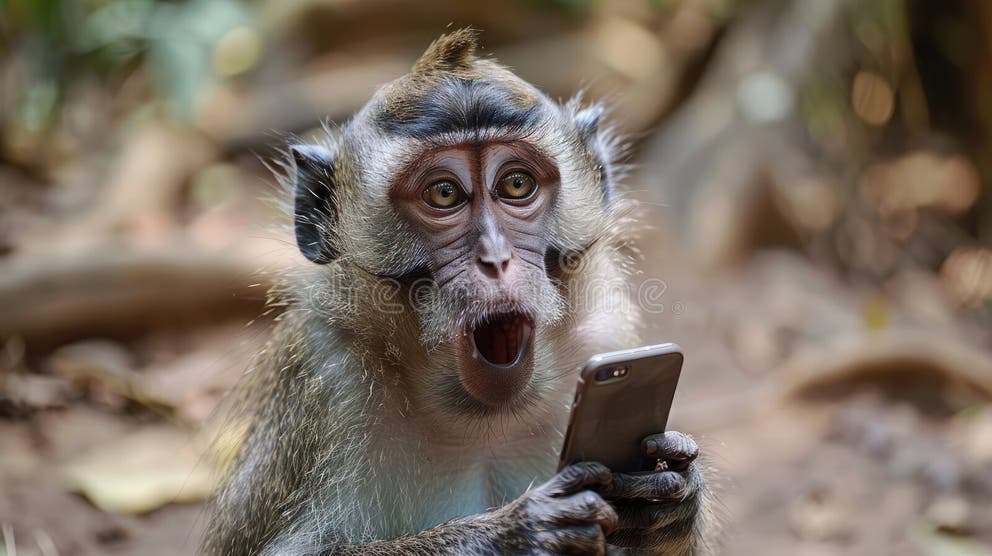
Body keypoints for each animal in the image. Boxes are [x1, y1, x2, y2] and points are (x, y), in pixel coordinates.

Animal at [202, 29, 713, 556]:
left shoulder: (604, 336)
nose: (495, 258)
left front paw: (671, 499)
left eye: (516, 184)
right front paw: (514, 532)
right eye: (444, 194)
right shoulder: (326, 377)